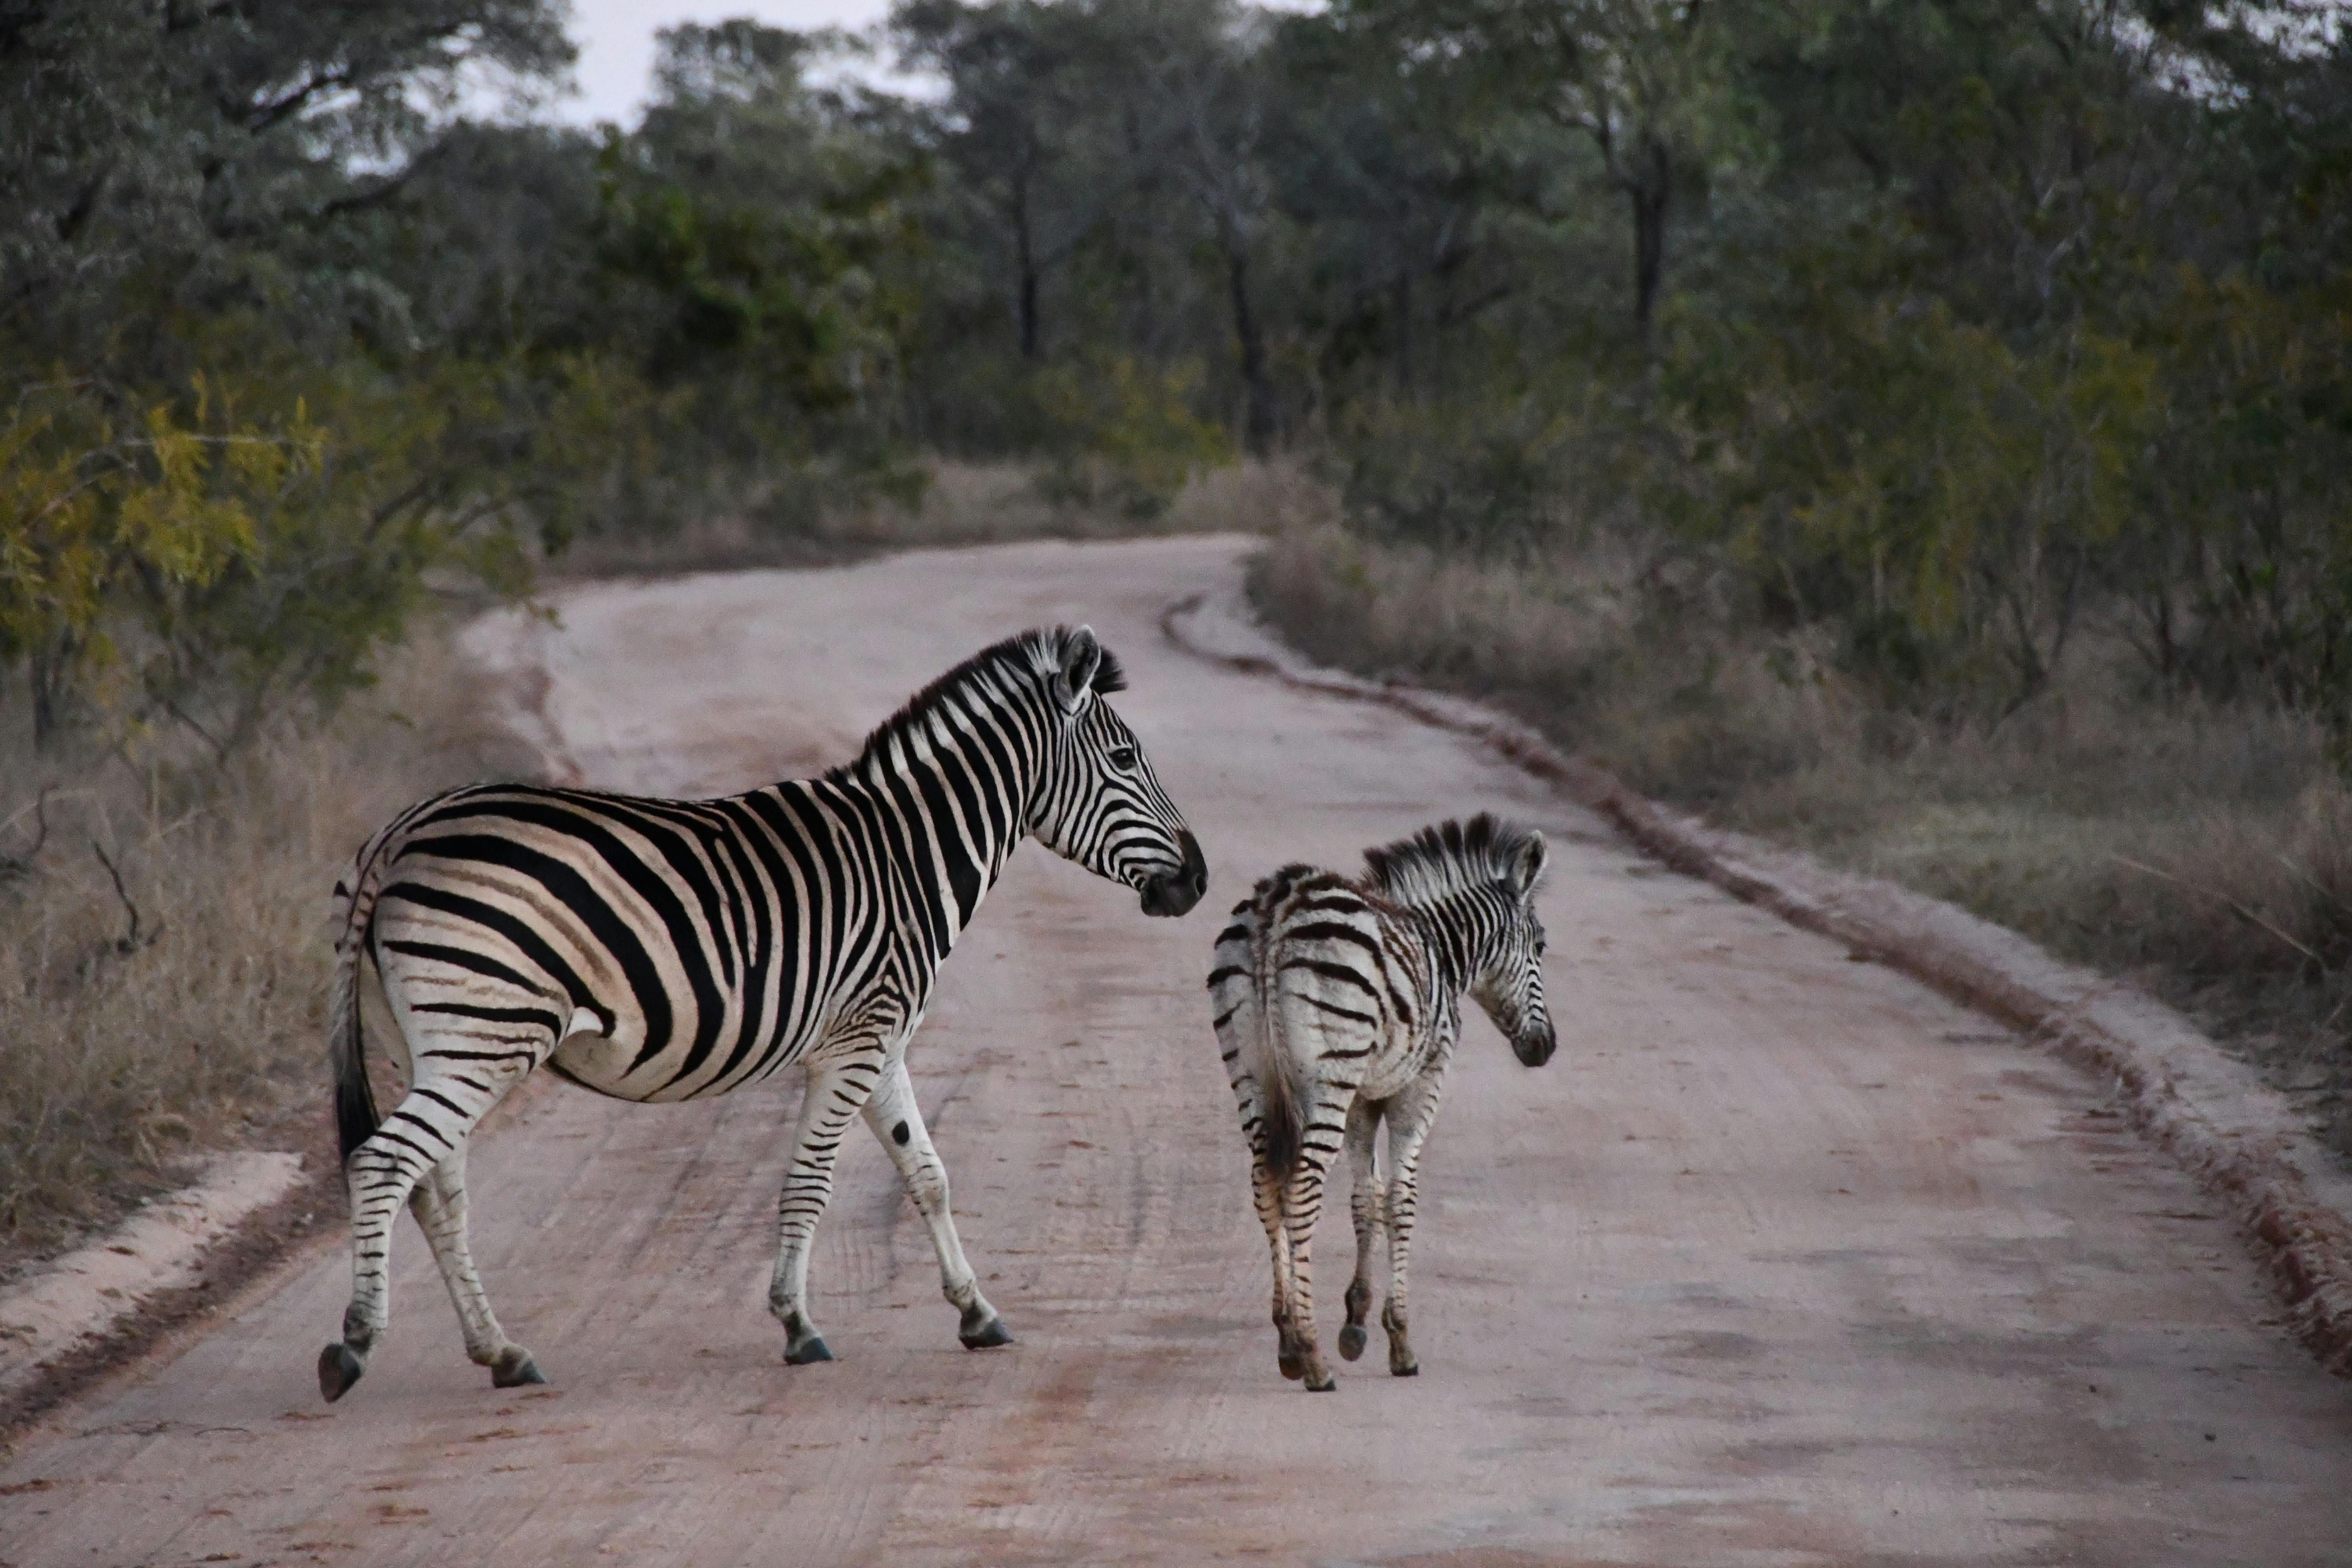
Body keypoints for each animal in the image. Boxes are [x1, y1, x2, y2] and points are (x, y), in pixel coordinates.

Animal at [316, 625, 1207, 1403]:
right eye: (1125, 758)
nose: (1196, 881)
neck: (909, 853)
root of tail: (403, 829)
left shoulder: (883, 1043)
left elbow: (927, 1173)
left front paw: (977, 1311)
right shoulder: (854, 1041)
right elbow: (810, 1183)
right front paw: (798, 1325)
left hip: (435, 1039)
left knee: (439, 1190)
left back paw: (500, 1350)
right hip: (486, 1035)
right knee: (385, 1163)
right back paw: (355, 1343)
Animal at [1208, 814, 1554, 1391]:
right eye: (1543, 946)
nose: (1546, 1047)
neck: (1442, 952)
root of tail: (1278, 901)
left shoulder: (1363, 1100)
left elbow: (1364, 1197)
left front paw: (1356, 1321)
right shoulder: (1417, 1087)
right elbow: (1402, 1198)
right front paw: (1399, 1339)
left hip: (1252, 1073)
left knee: (1265, 1186)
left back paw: (1287, 1339)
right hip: (1328, 1076)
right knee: (1301, 1189)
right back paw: (1313, 1356)